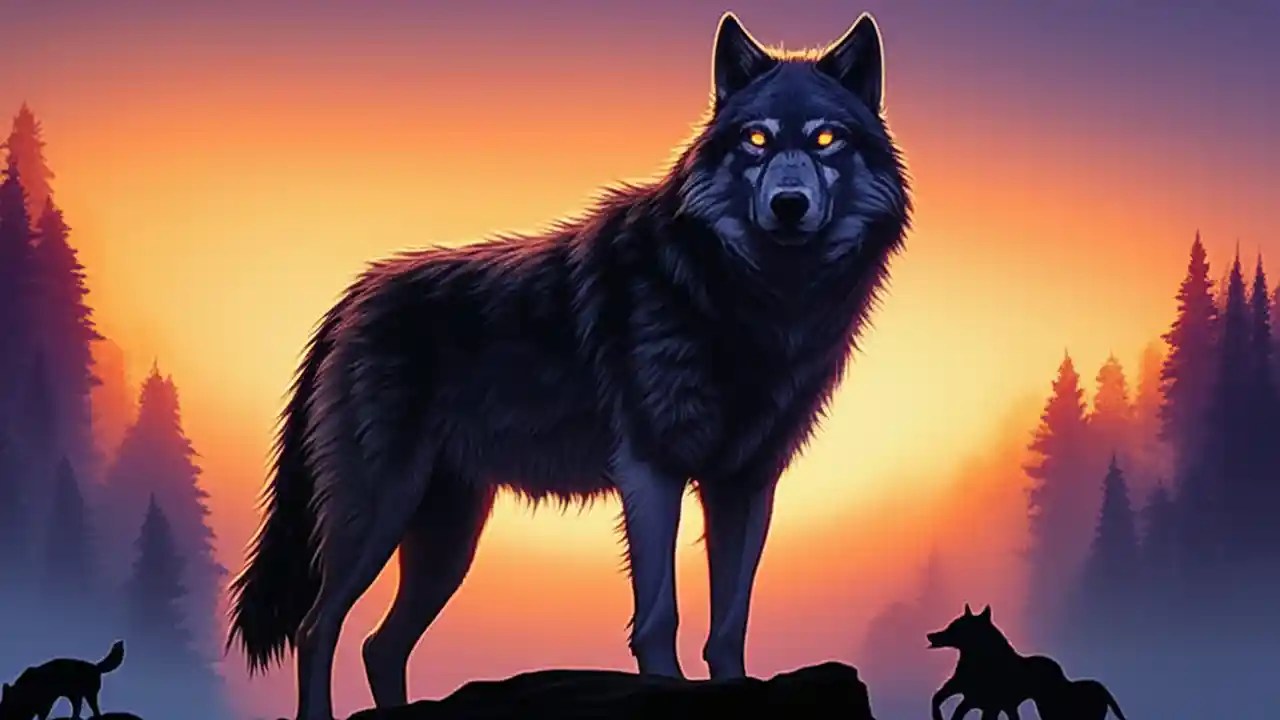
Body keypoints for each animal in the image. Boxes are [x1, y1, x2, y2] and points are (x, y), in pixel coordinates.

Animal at [226, 10, 911, 720]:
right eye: (757, 139)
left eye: (826, 139)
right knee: (318, 626)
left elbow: (730, 624)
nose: (788, 204)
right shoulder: (651, 471)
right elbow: (658, 617)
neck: (756, 302)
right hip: (378, 514)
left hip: (447, 540)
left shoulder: (746, 482)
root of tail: (354, 295)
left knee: (379, 646)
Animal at [927, 605, 1126, 720]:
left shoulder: (986, 704)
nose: (930, 635)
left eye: (955, 627)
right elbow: (937, 699)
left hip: (1050, 710)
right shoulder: (966, 695)